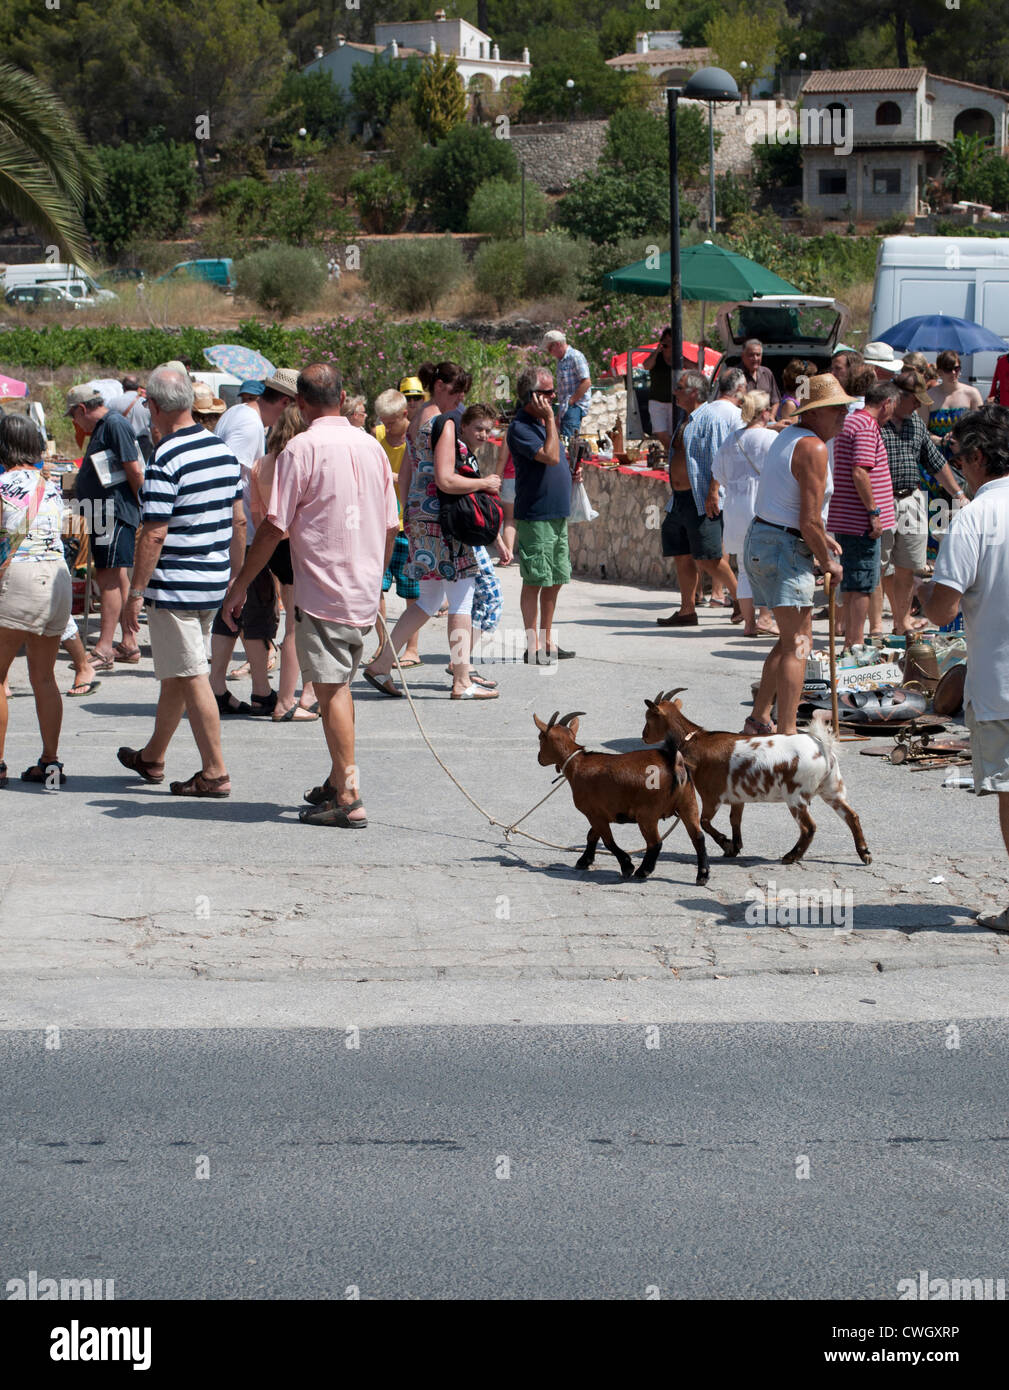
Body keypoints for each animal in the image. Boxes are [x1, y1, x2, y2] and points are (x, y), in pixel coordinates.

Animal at [534, 710, 710, 884]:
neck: (578, 763)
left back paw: (642, 871)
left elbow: (607, 840)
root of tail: (674, 762)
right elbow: (592, 835)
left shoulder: (593, 813)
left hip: (647, 814)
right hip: (688, 802)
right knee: (698, 837)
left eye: (540, 737)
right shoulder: (600, 813)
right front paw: (584, 861)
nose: (539, 758)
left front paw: (627, 866)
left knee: (655, 843)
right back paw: (702, 875)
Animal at [641, 690, 871, 866]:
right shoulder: (737, 798)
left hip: (796, 796)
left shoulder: (711, 796)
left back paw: (790, 856)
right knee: (852, 816)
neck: (697, 741)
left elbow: (704, 822)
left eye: (648, 717)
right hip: (831, 788)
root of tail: (822, 746)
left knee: (809, 828)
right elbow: (735, 820)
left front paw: (726, 844)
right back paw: (864, 853)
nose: (643, 736)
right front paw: (735, 847)